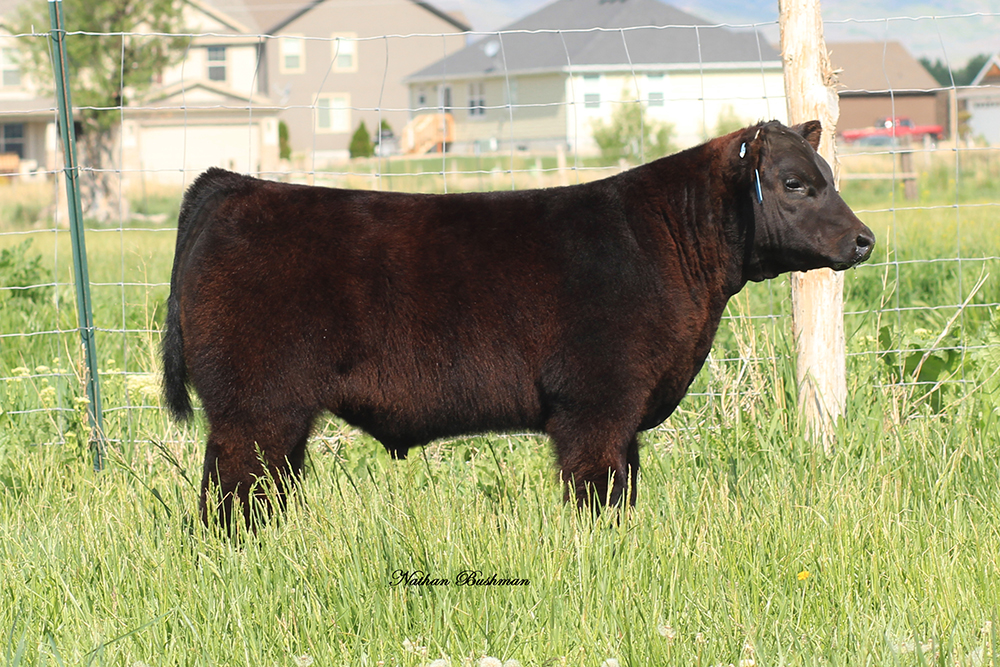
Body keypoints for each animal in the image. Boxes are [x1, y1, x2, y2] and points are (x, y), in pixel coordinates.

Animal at [162, 120, 874, 528]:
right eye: (793, 183)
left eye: (829, 177)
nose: (864, 240)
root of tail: (235, 185)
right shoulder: (595, 403)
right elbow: (598, 496)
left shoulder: (625, 414)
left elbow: (625, 492)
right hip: (257, 407)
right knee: (231, 499)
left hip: (263, 416)